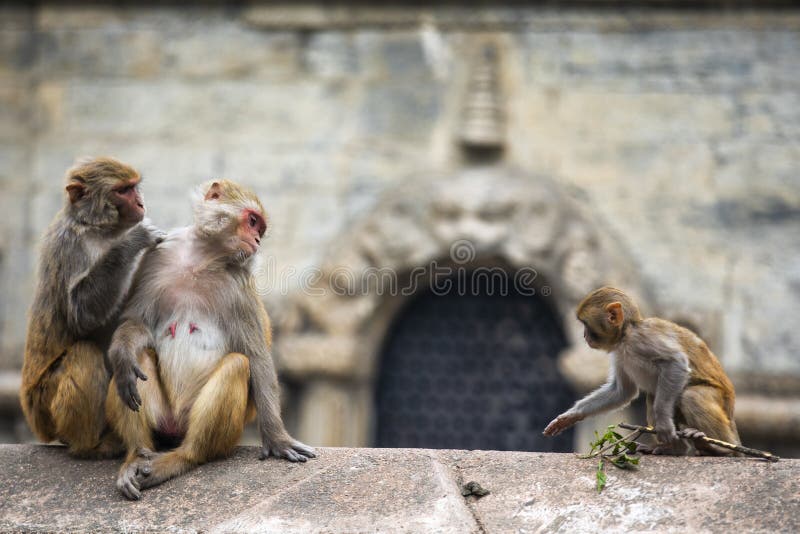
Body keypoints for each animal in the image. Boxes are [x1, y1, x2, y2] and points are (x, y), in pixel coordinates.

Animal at [20, 157, 162, 458]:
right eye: (123, 191)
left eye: (134, 187)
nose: (140, 203)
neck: (99, 229)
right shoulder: (71, 245)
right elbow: (80, 314)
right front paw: (133, 239)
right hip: (44, 406)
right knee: (84, 353)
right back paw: (91, 445)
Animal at [105, 179, 316, 500]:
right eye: (252, 221)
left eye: (259, 228)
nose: (257, 240)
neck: (202, 258)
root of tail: (175, 428)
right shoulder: (158, 256)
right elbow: (135, 321)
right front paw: (122, 352)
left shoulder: (239, 285)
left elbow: (256, 357)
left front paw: (278, 439)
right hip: (163, 418)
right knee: (135, 363)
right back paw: (136, 456)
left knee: (237, 365)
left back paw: (183, 458)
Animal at [543, 287, 740, 456]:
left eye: (586, 325)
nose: (584, 336)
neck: (625, 335)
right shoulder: (619, 354)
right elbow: (622, 391)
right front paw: (570, 416)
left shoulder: (642, 339)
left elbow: (675, 363)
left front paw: (663, 423)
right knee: (653, 396)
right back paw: (677, 449)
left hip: (722, 403)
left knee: (692, 396)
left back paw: (720, 449)